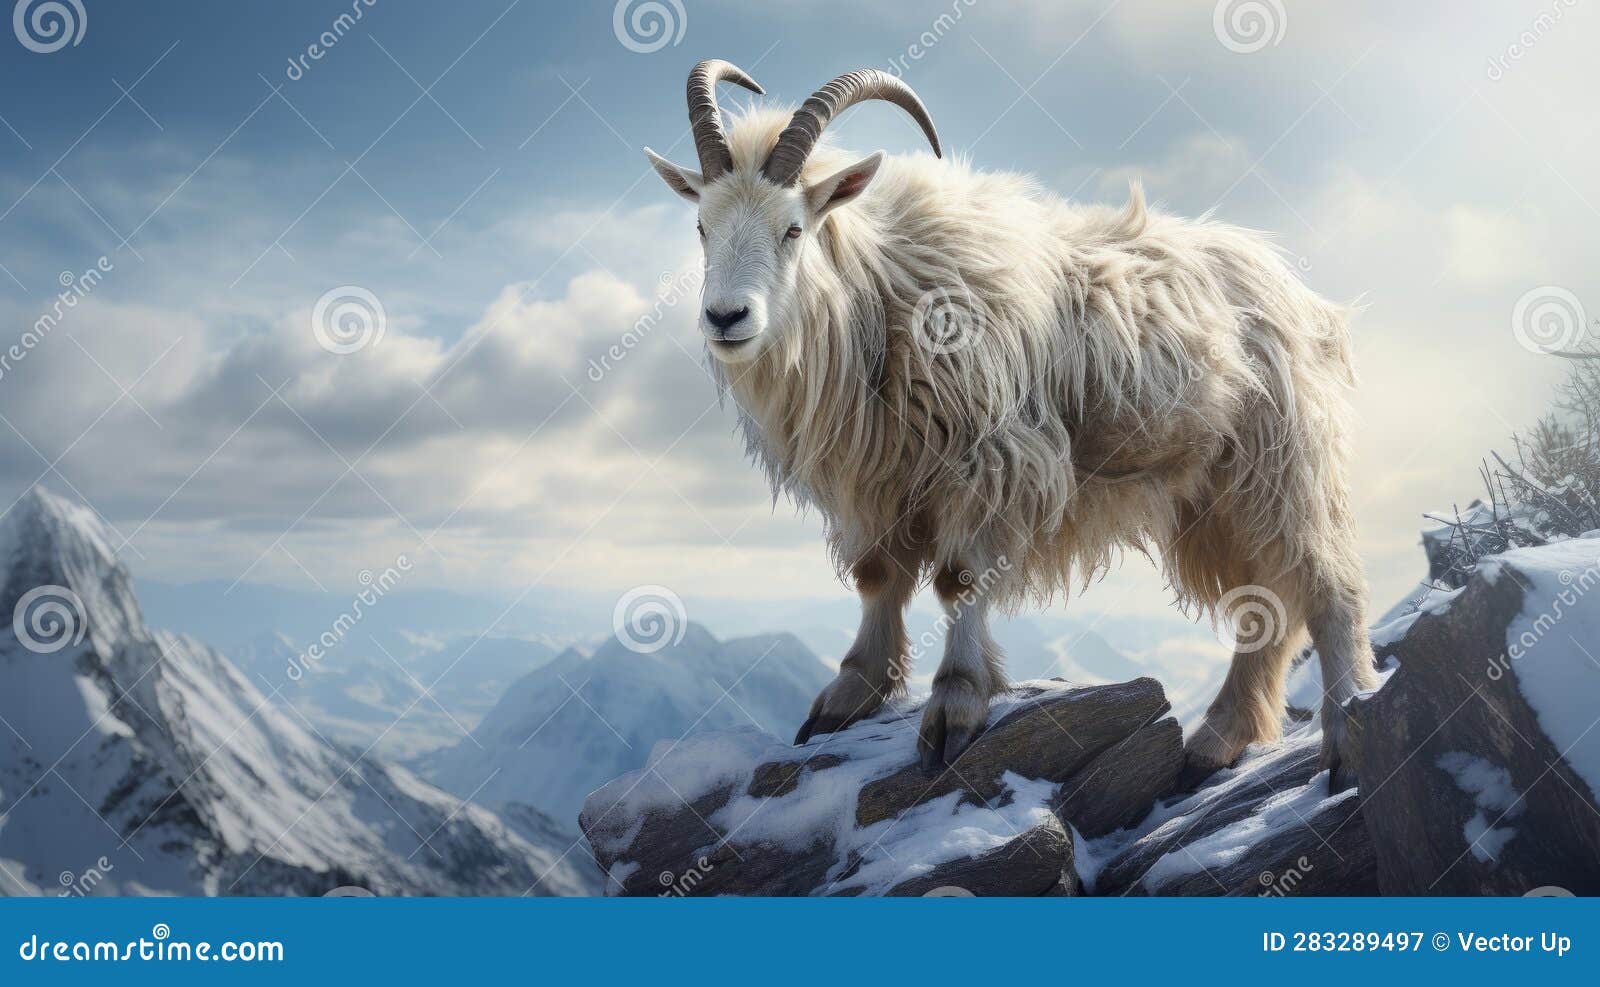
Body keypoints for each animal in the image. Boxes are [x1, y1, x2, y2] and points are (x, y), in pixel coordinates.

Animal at [645, 60, 1378, 783]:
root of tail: (1304, 297)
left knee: (1326, 587)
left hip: (1281, 462)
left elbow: (959, 578)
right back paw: (1219, 737)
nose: (726, 318)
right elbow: (877, 576)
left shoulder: (988, 461)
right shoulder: (876, 481)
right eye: (703, 227)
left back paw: (1344, 738)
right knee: (1269, 602)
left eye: (793, 228)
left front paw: (955, 706)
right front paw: (850, 693)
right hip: (1212, 494)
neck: (876, 300)